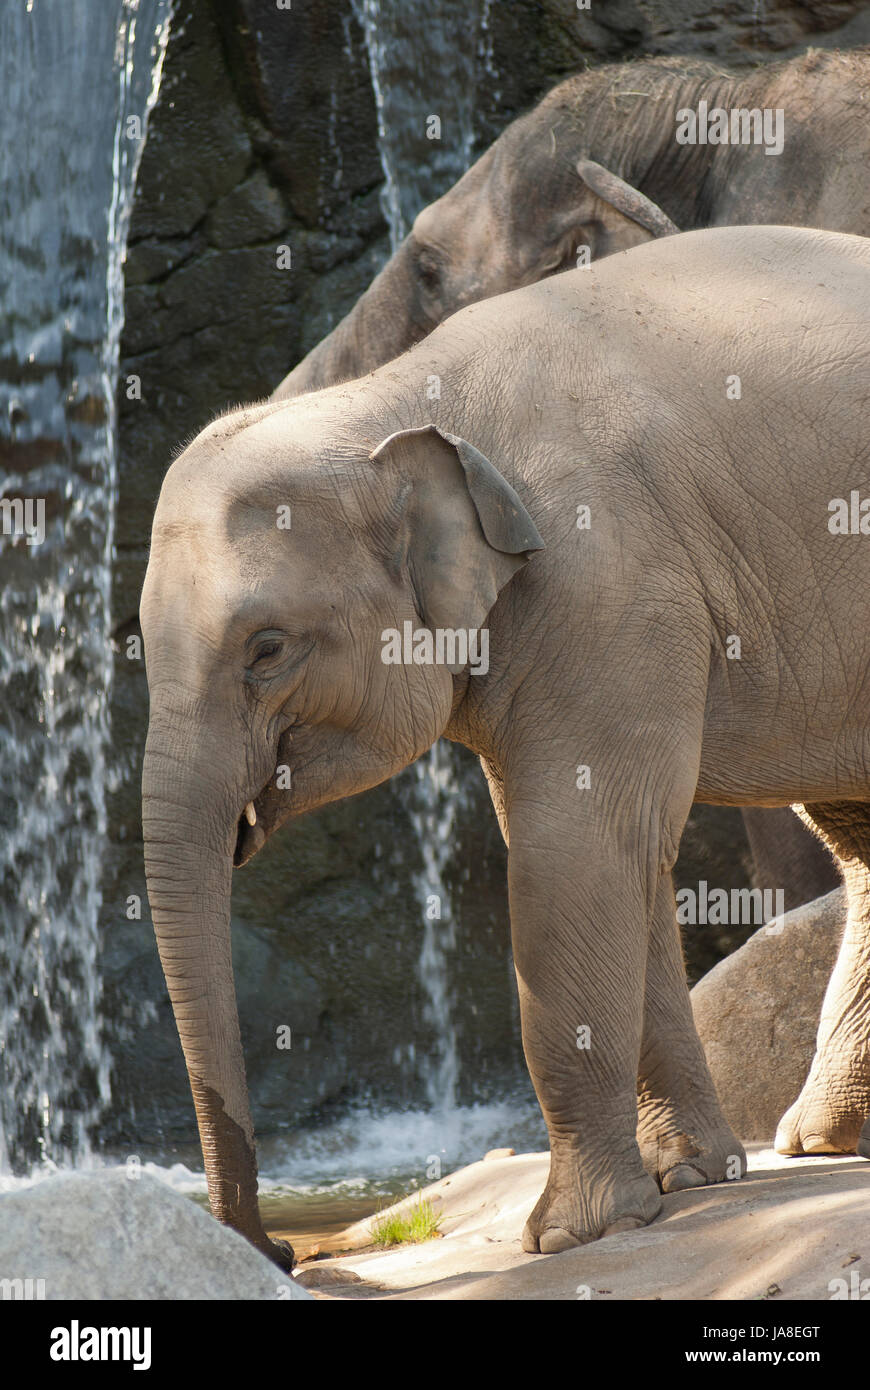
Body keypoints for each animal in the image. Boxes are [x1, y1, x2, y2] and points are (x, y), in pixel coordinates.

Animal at [141, 225, 870, 1262]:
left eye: (267, 649)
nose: (273, 1249)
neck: (400, 401)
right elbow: (618, 856)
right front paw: (687, 1179)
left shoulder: (611, 584)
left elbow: (576, 852)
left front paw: (571, 1232)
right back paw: (820, 1140)